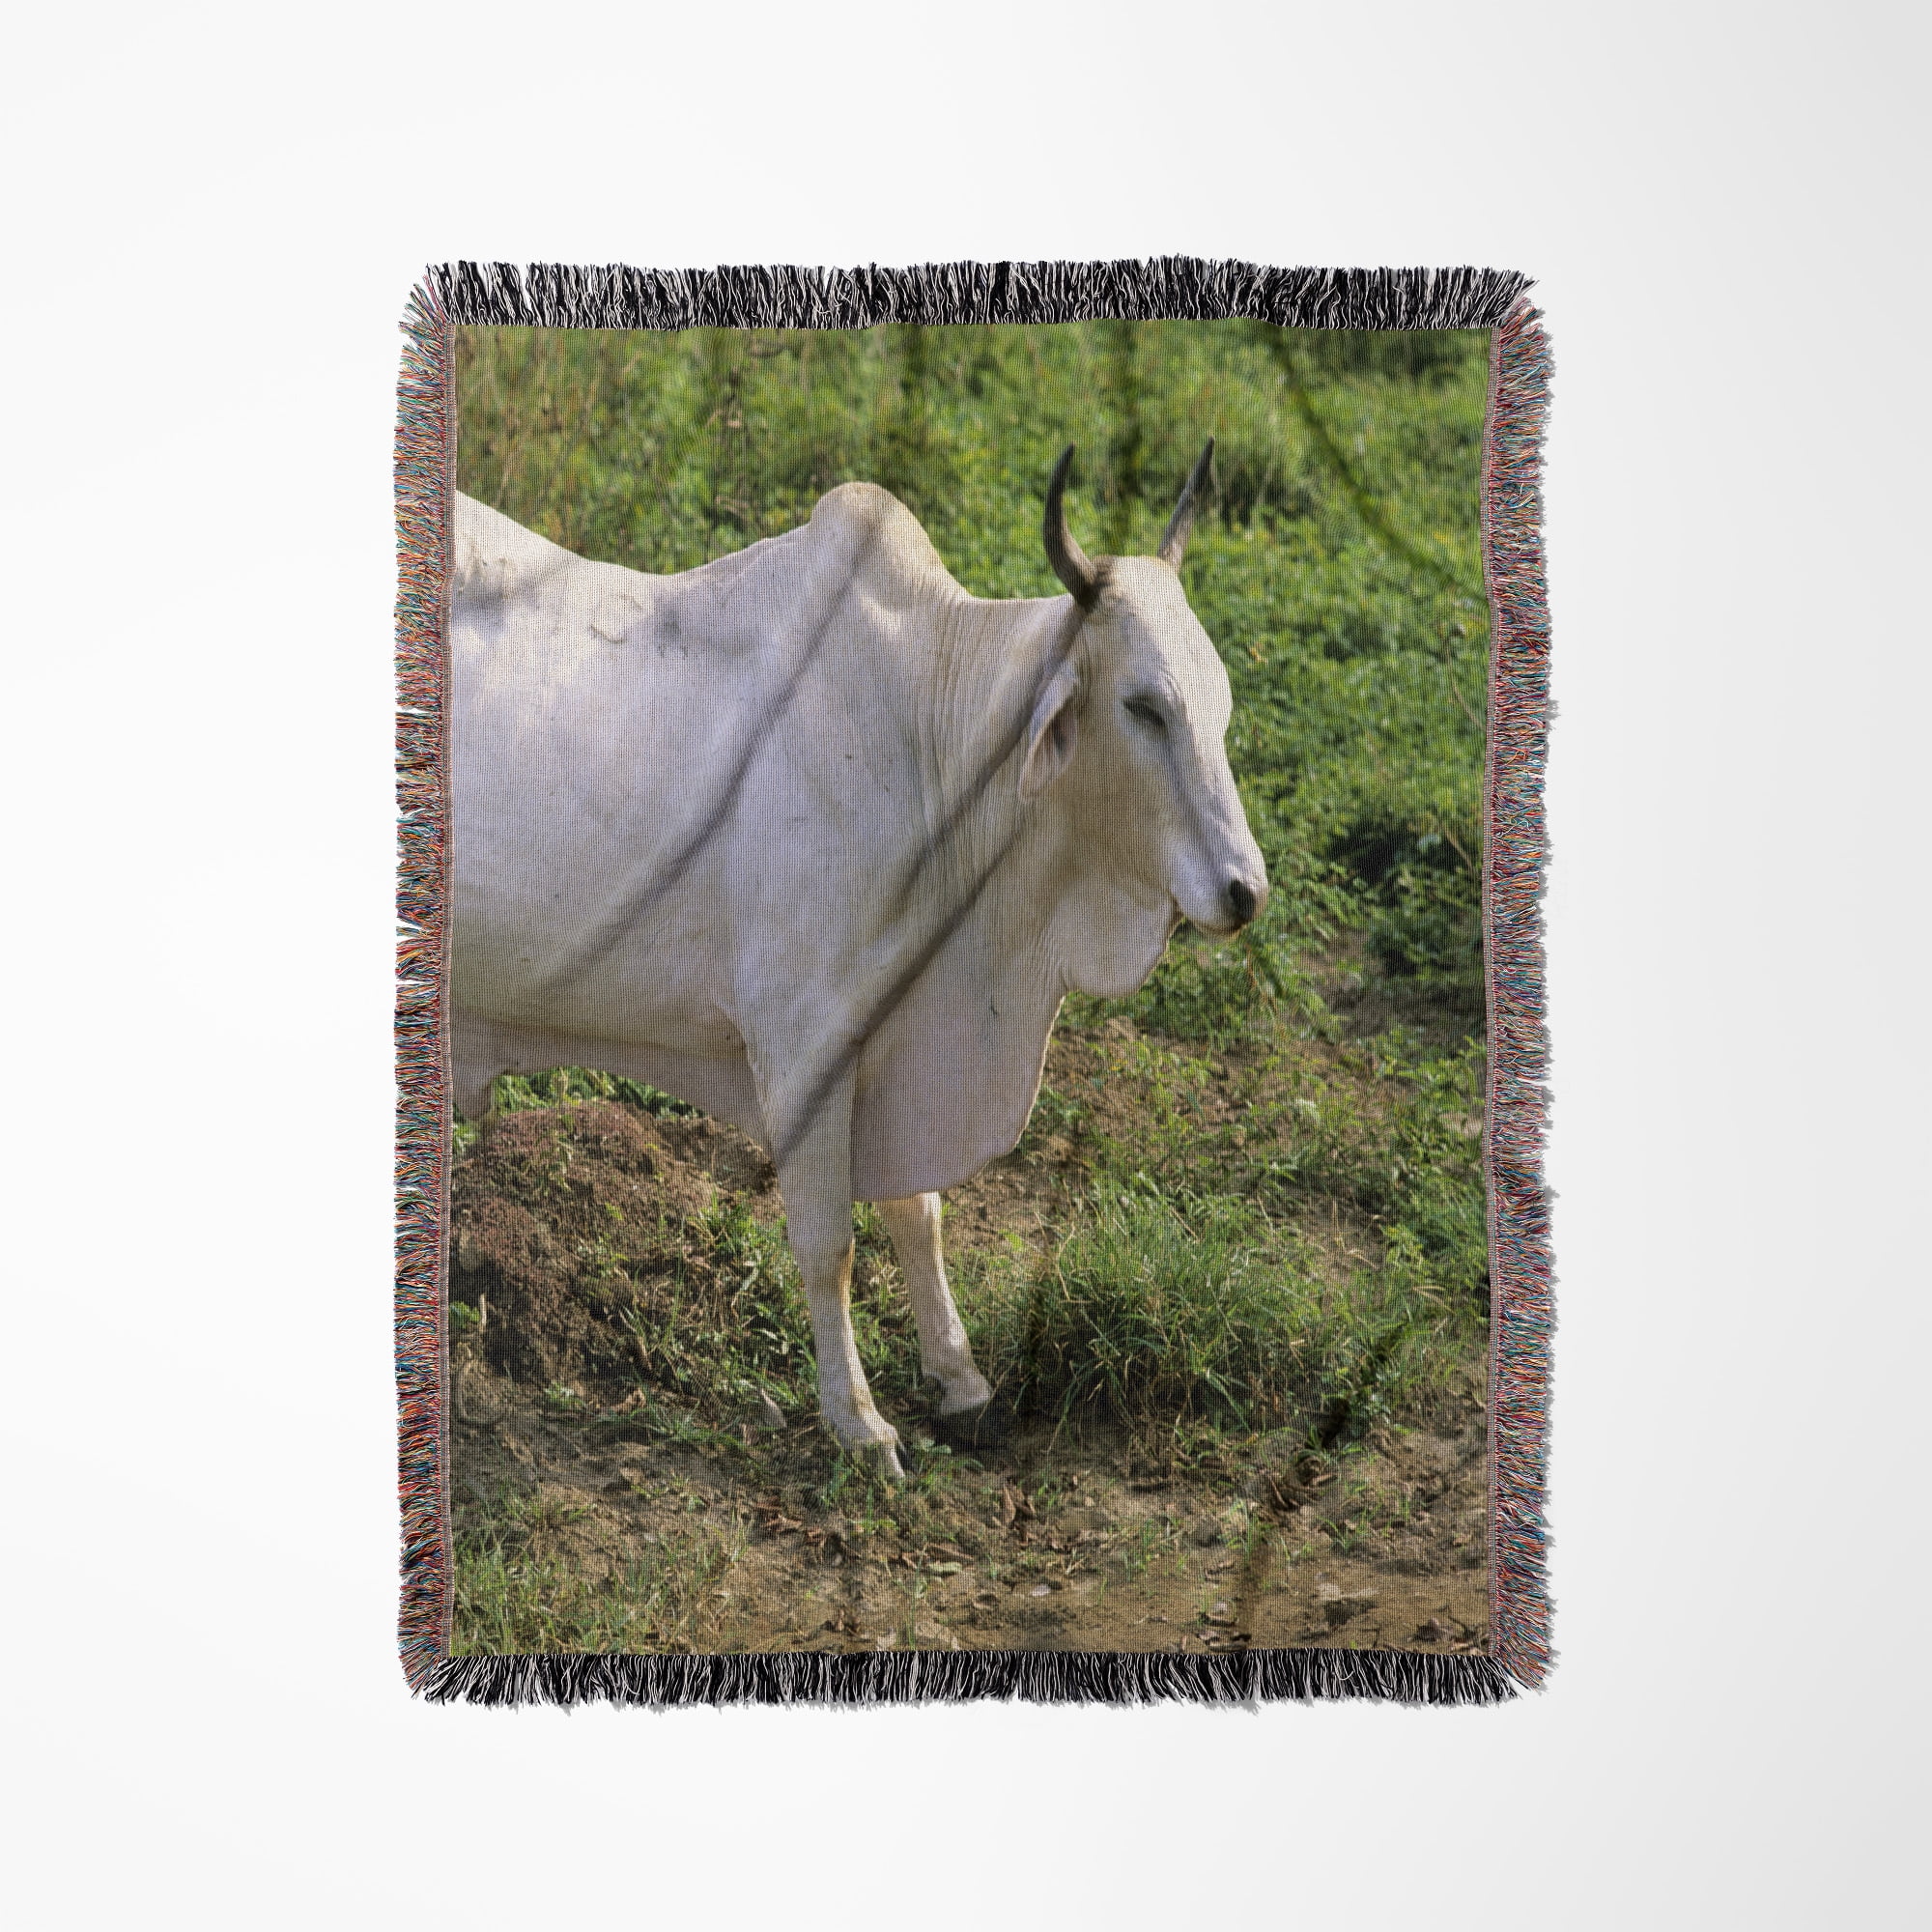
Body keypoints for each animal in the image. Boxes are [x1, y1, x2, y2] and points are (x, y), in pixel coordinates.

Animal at [449, 445, 1268, 1477]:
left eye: (1220, 700)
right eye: (1146, 708)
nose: (1245, 890)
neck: (929, 743)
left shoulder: (890, 1029)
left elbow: (920, 1214)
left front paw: (961, 1382)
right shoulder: (802, 1048)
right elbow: (828, 1245)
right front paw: (860, 1423)